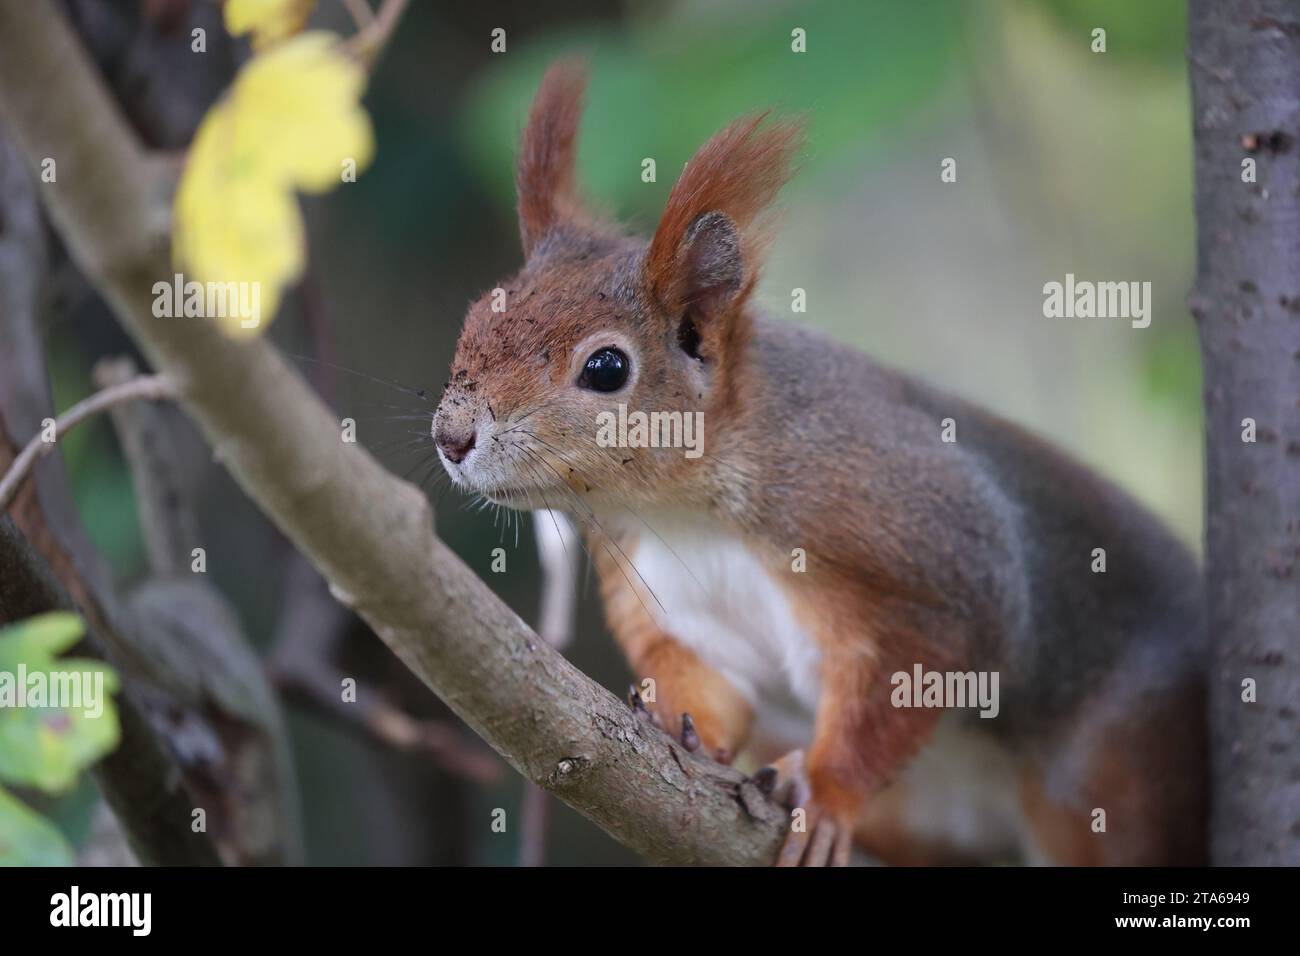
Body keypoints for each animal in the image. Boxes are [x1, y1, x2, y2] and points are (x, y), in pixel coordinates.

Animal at [434, 62, 1207, 866]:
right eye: (474, 319)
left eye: (607, 367)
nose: (451, 437)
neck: (689, 510)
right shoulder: (673, 602)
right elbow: (712, 688)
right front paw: (677, 728)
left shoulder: (921, 558)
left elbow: (913, 675)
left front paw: (830, 793)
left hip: (1113, 775)